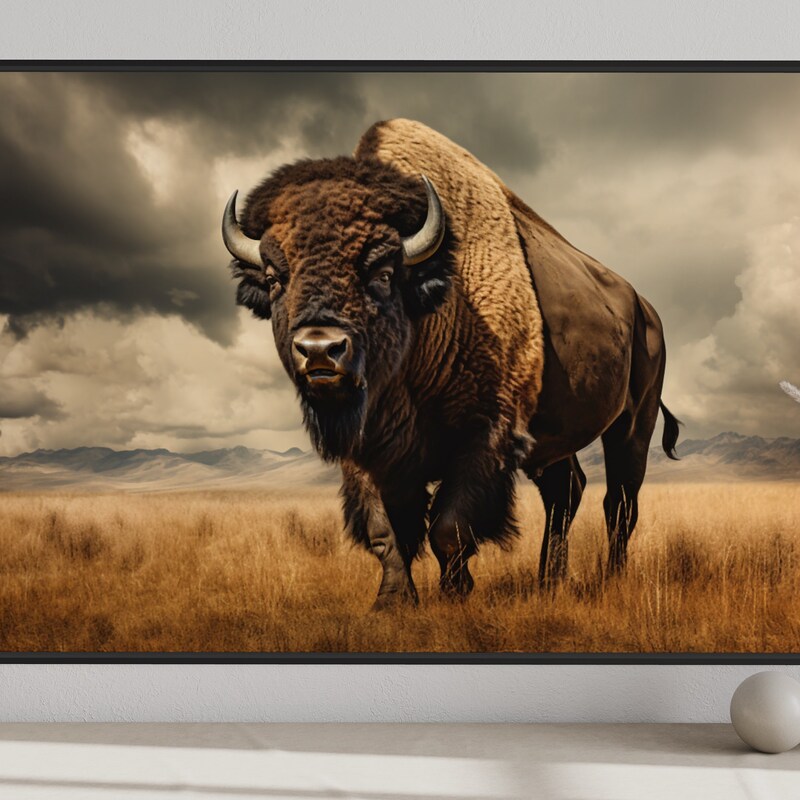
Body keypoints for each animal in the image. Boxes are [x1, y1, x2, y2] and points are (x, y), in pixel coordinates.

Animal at [222, 118, 680, 608]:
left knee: (619, 502)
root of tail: (643, 308)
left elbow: (450, 527)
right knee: (566, 492)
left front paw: (455, 593)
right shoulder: (368, 454)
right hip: (557, 439)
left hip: (632, 424)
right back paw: (549, 582)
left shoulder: (484, 438)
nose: (321, 349)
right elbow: (387, 533)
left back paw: (611, 578)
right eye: (274, 279)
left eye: (384, 273)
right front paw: (392, 601)